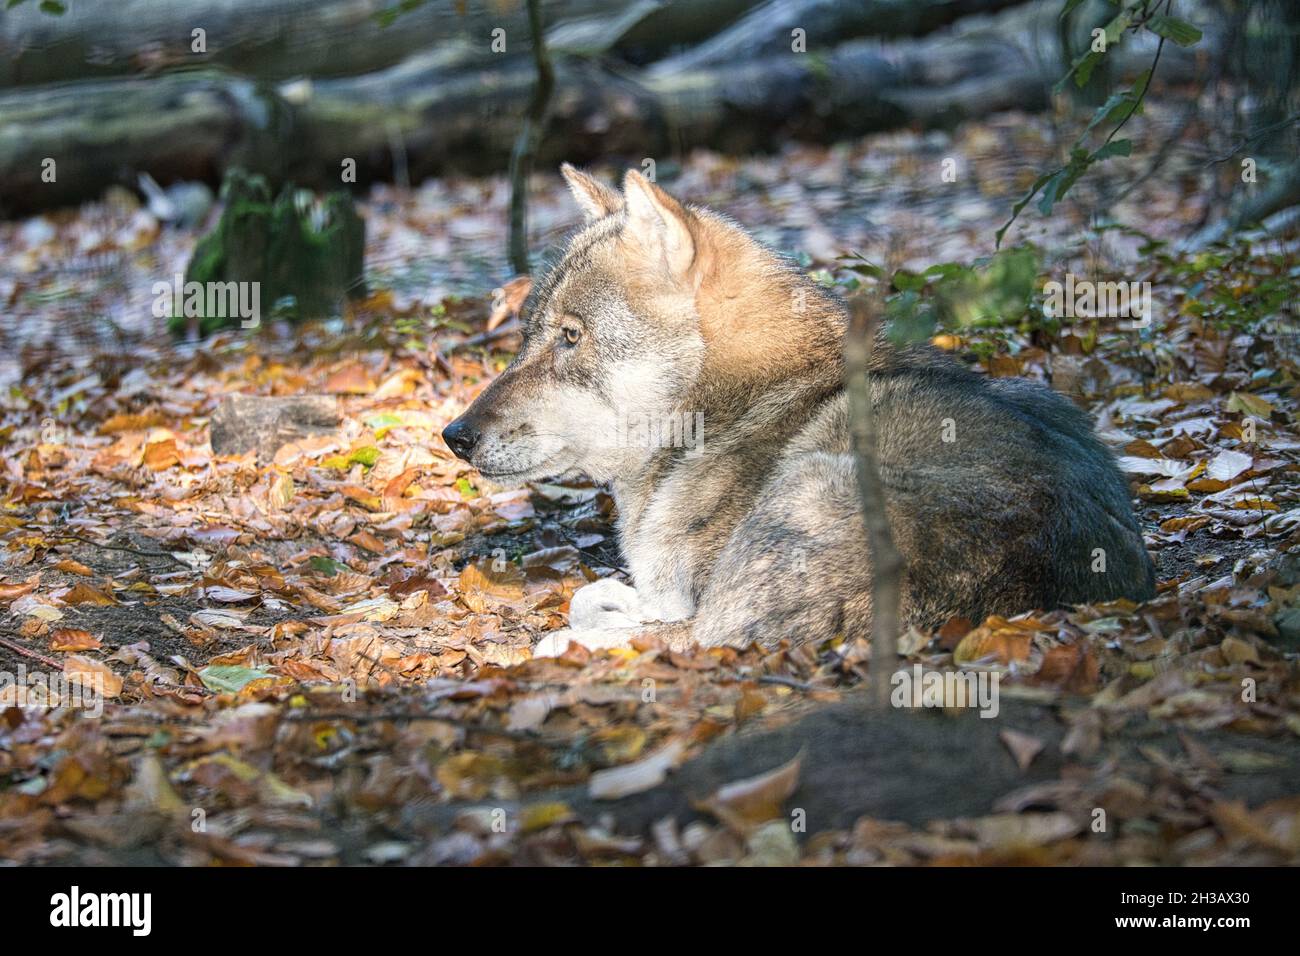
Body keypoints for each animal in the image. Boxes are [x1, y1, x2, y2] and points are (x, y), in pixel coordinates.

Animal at [442, 165, 1156, 657]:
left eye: (570, 337)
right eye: (529, 335)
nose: (454, 435)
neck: (725, 406)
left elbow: (614, 611)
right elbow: (608, 595)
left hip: (810, 484)